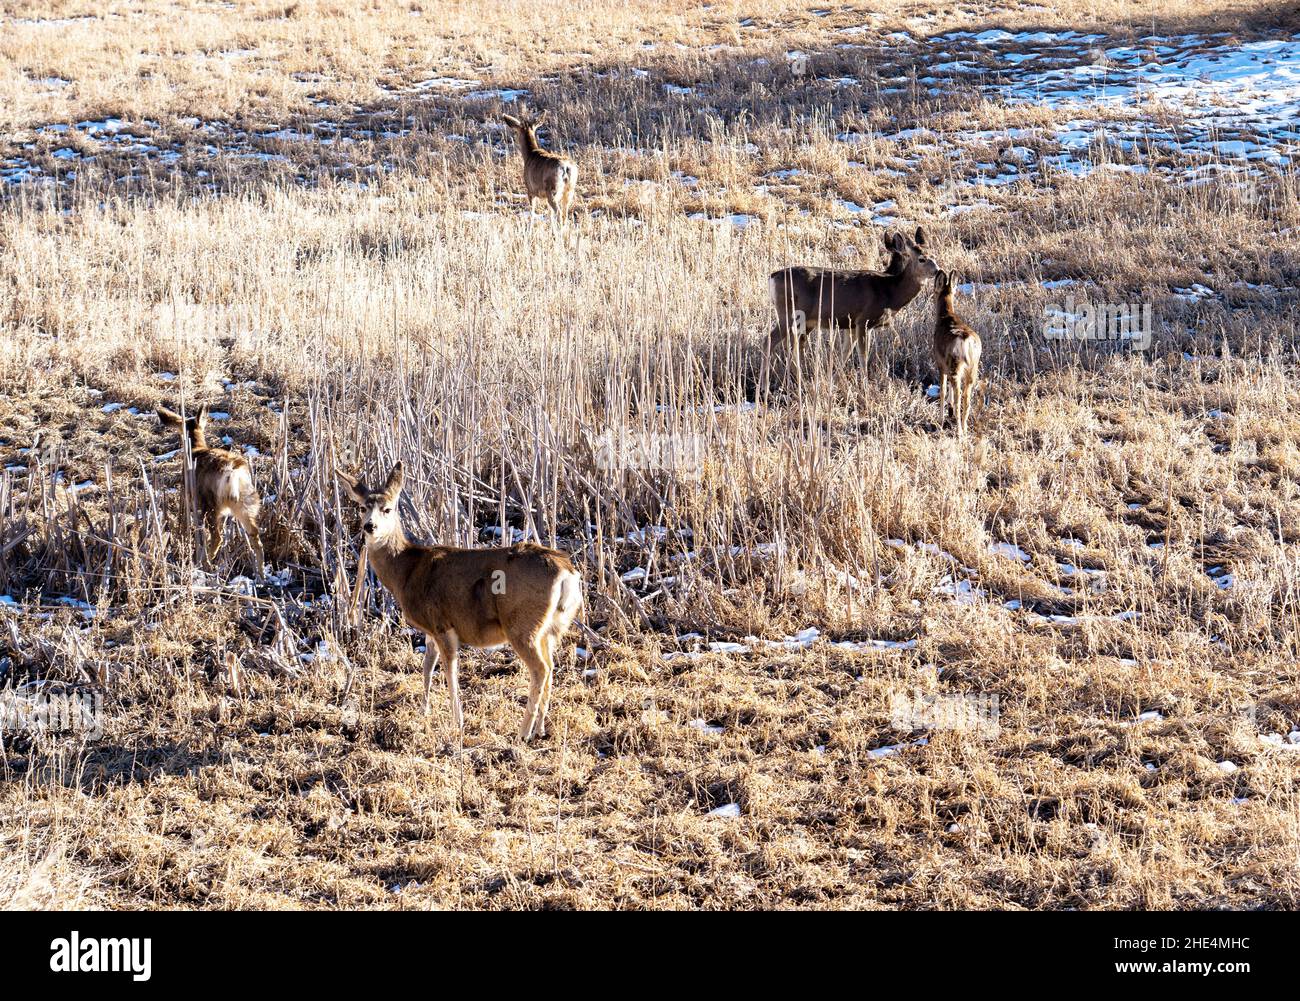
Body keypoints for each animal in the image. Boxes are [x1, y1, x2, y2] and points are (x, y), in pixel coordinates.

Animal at [157, 404, 264, 570]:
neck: (195, 448)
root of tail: (232, 472)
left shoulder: (187, 493)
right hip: (246, 502)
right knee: (255, 535)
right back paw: (261, 572)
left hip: (211, 504)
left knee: (217, 537)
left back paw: (204, 562)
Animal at [336, 462, 583, 742]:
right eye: (362, 507)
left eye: (387, 508)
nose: (370, 527)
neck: (406, 570)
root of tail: (567, 572)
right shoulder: (430, 629)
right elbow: (426, 668)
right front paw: (424, 711)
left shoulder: (442, 624)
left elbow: (450, 671)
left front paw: (458, 721)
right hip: (553, 627)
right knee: (551, 666)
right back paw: (540, 728)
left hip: (522, 623)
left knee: (540, 669)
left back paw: (523, 732)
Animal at [767, 228, 938, 377]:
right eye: (922, 259)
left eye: (934, 256)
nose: (937, 270)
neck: (889, 291)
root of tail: (773, 276)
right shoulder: (863, 320)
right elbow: (863, 357)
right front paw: (864, 385)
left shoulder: (851, 325)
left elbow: (845, 354)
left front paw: (834, 379)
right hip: (789, 313)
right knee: (769, 341)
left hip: (804, 321)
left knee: (793, 347)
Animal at [931, 270, 983, 436]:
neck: (946, 316)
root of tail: (967, 341)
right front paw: (949, 410)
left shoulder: (940, 363)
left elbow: (942, 390)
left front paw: (941, 419)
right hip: (973, 367)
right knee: (967, 397)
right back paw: (964, 428)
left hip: (955, 365)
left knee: (959, 395)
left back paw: (959, 430)